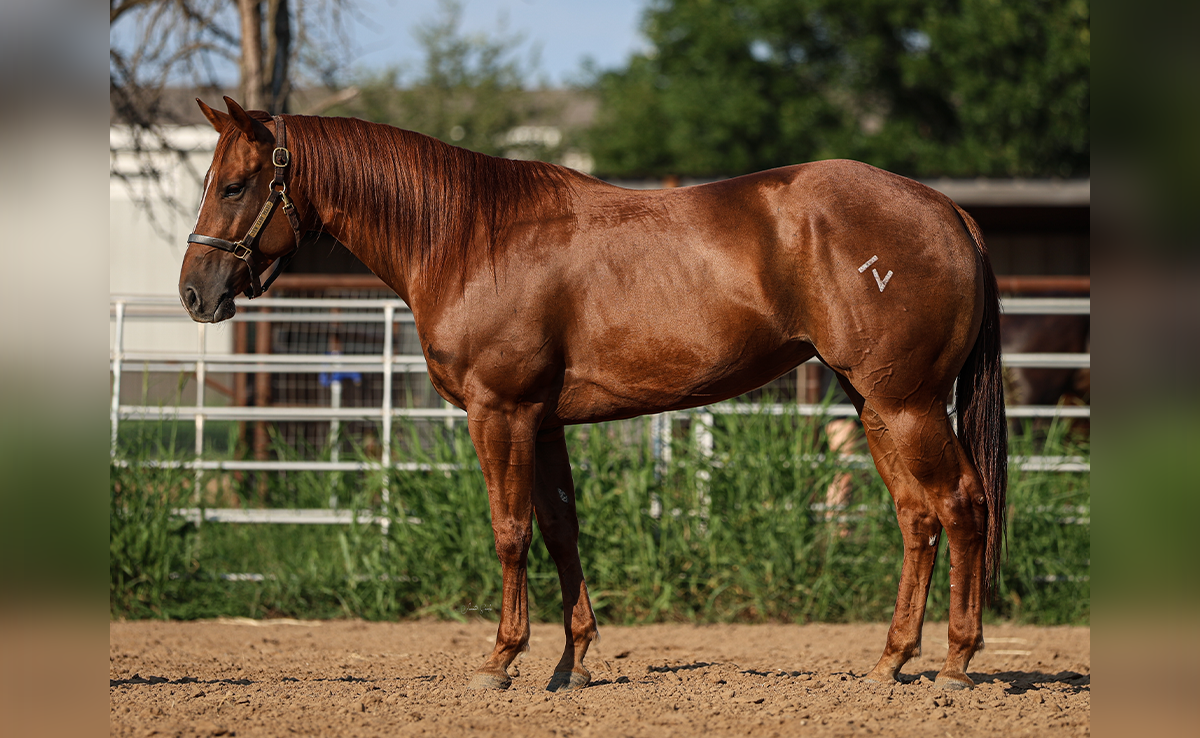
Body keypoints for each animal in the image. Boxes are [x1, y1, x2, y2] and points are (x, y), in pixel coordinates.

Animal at [179, 97, 1007, 692]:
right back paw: (891, 660)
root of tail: (949, 211)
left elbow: (510, 531)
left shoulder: (501, 413)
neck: (471, 236)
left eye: (234, 184)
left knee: (962, 505)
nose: (194, 293)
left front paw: (500, 659)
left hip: (907, 404)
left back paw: (957, 663)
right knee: (917, 518)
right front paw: (569, 662)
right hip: (874, 406)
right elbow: (559, 531)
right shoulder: (543, 424)